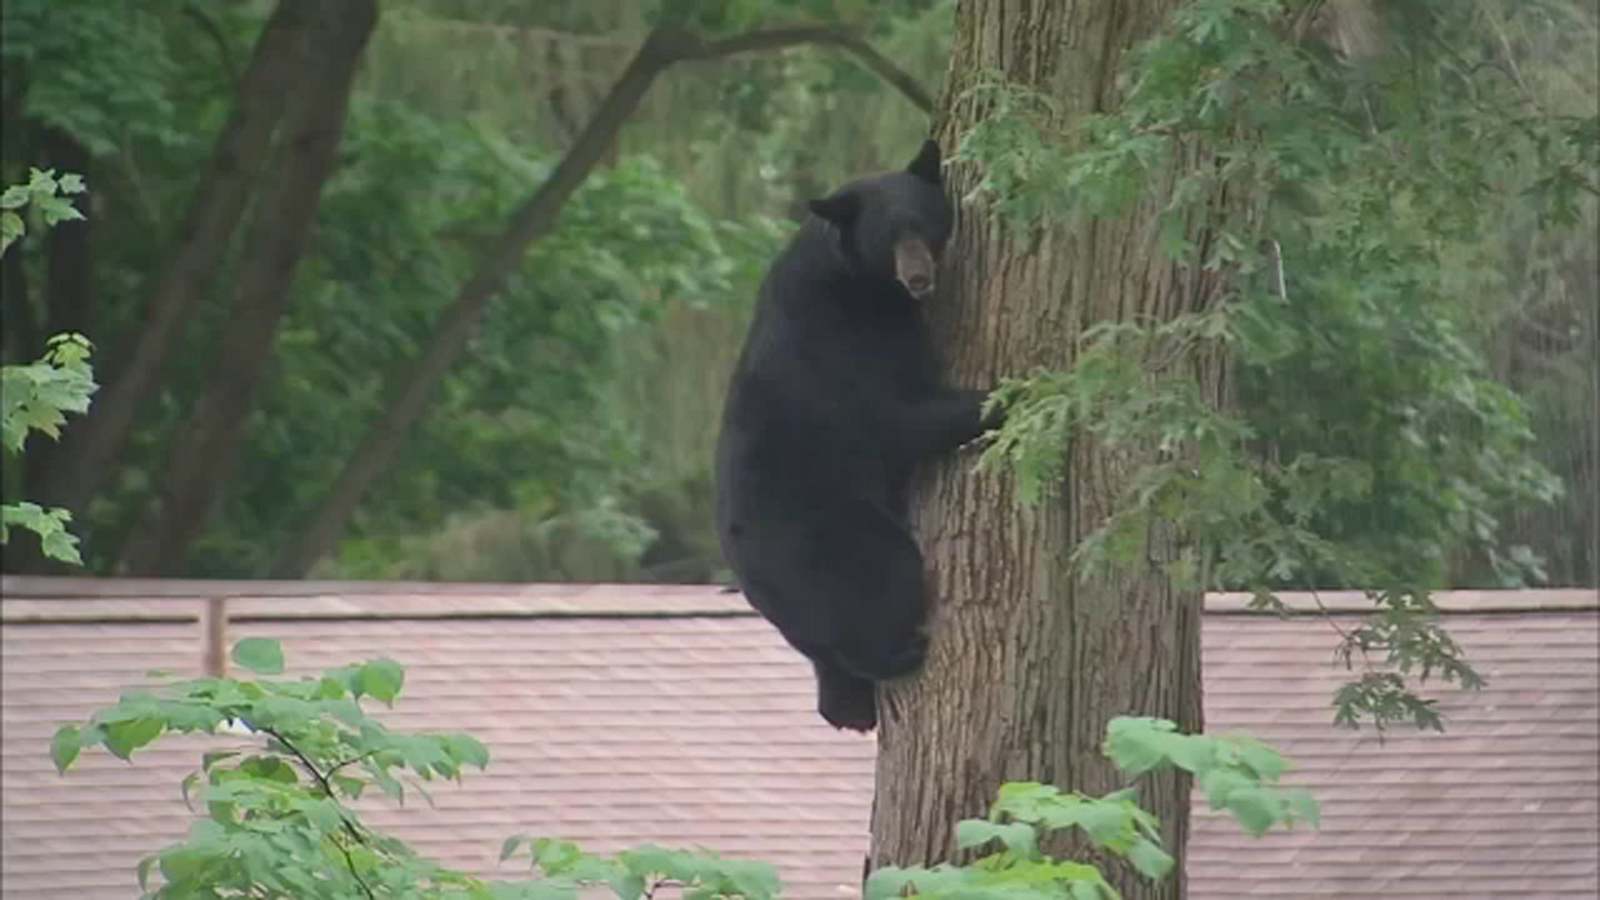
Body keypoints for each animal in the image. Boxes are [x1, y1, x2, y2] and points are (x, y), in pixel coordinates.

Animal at [714, 139, 998, 731]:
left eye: (924, 224)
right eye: (888, 238)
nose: (919, 278)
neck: (853, 281)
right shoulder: (840, 340)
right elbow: (901, 415)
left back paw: (846, 705)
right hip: (832, 539)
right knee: (887, 577)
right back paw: (899, 653)